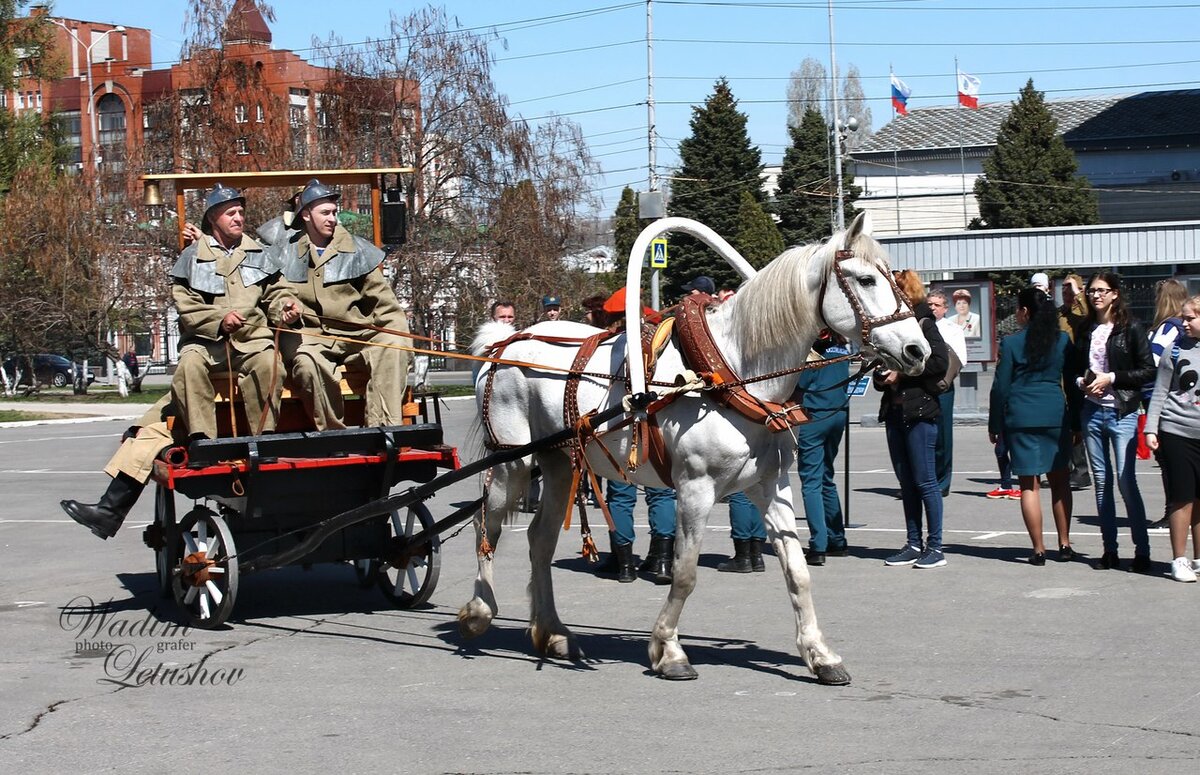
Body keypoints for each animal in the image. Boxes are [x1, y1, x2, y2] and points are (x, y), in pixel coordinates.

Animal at [458, 212, 926, 686]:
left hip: (559, 465)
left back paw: (553, 632)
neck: (731, 372)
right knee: (485, 527)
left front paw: (819, 654)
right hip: (513, 463)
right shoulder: (695, 489)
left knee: (539, 539)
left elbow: (797, 571)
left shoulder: (770, 486)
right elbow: (684, 574)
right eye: (866, 279)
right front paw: (668, 650)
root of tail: (505, 343)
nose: (918, 349)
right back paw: (479, 611)